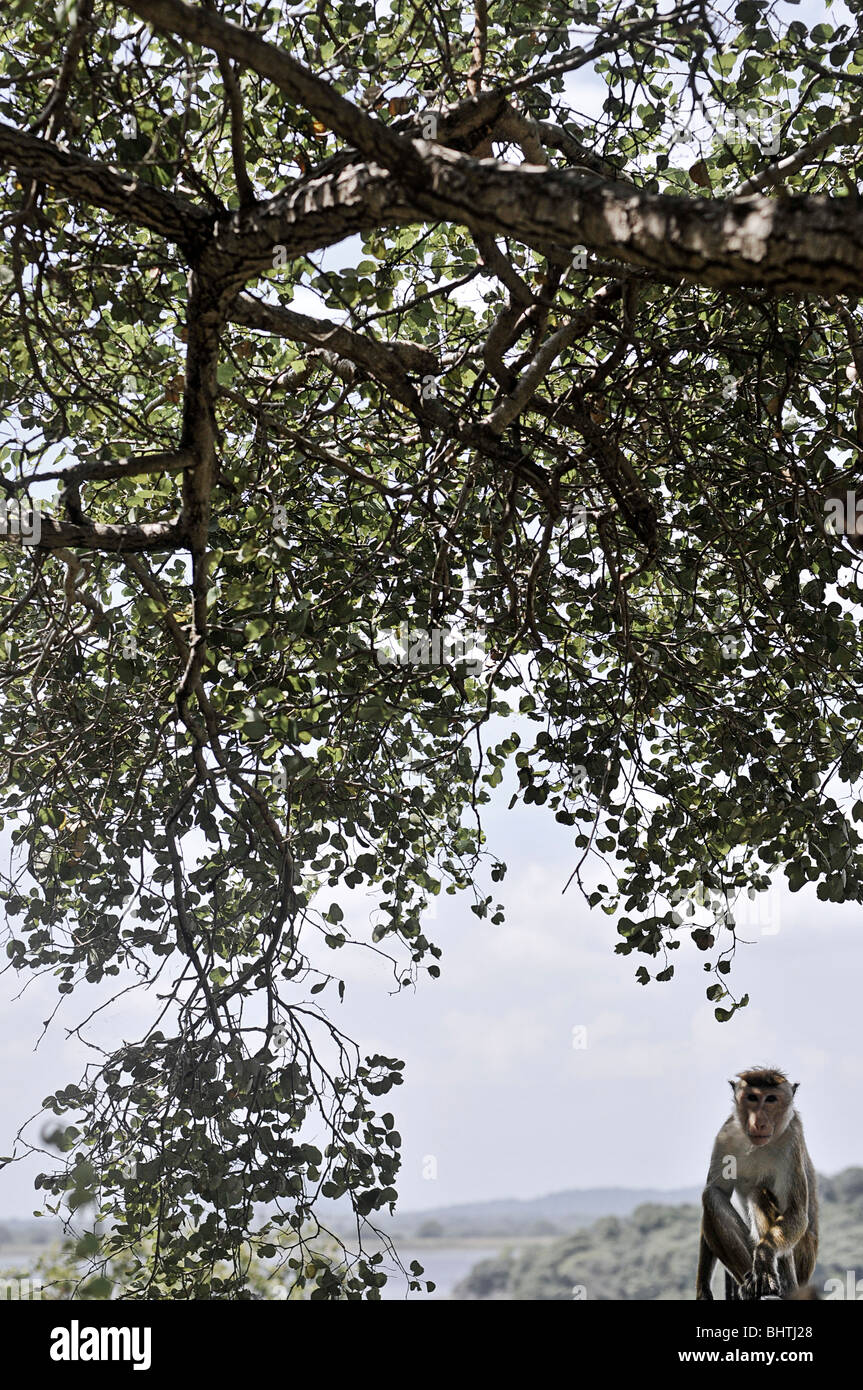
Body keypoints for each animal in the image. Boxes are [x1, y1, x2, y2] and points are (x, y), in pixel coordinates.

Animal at [696, 1067, 818, 1301]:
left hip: (799, 1261)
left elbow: (796, 1212)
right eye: (752, 1098)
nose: (758, 1122)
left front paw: (763, 1256)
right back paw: (748, 1282)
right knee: (712, 1197)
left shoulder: (791, 1140)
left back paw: (777, 1284)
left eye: (771, 1099)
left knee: (757, 1194)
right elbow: (717, 1190)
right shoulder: (725, 1135)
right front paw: (703, 1287)